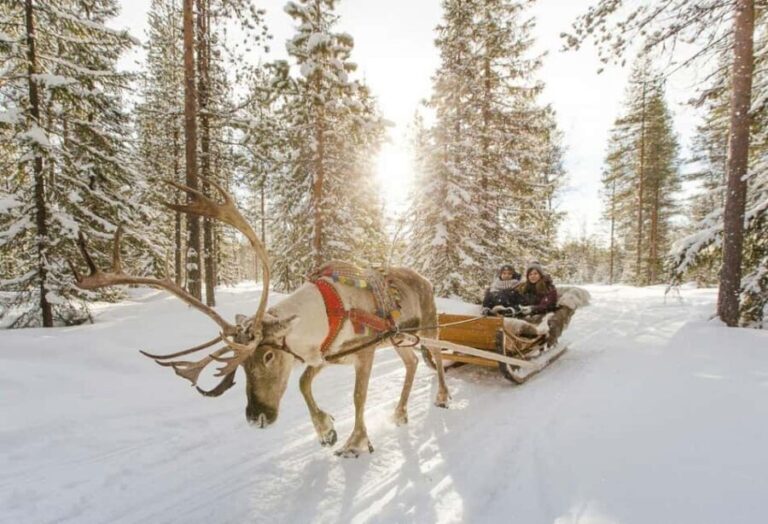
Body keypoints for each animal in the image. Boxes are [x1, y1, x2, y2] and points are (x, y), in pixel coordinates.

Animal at [72, 178, 450, 458]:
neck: (327, 313)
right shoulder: (324, 355)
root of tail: (427, 278)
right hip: (401, 339)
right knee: (413, 363)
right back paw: (400, 412)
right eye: (239, 365)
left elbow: (358, 398)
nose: (257, 419)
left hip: (429, 325)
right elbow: (302, 384)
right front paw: (325, 429)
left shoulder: (364, 351)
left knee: (438, 357)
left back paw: (443, 397)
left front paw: (355, 443)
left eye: (267, 355)